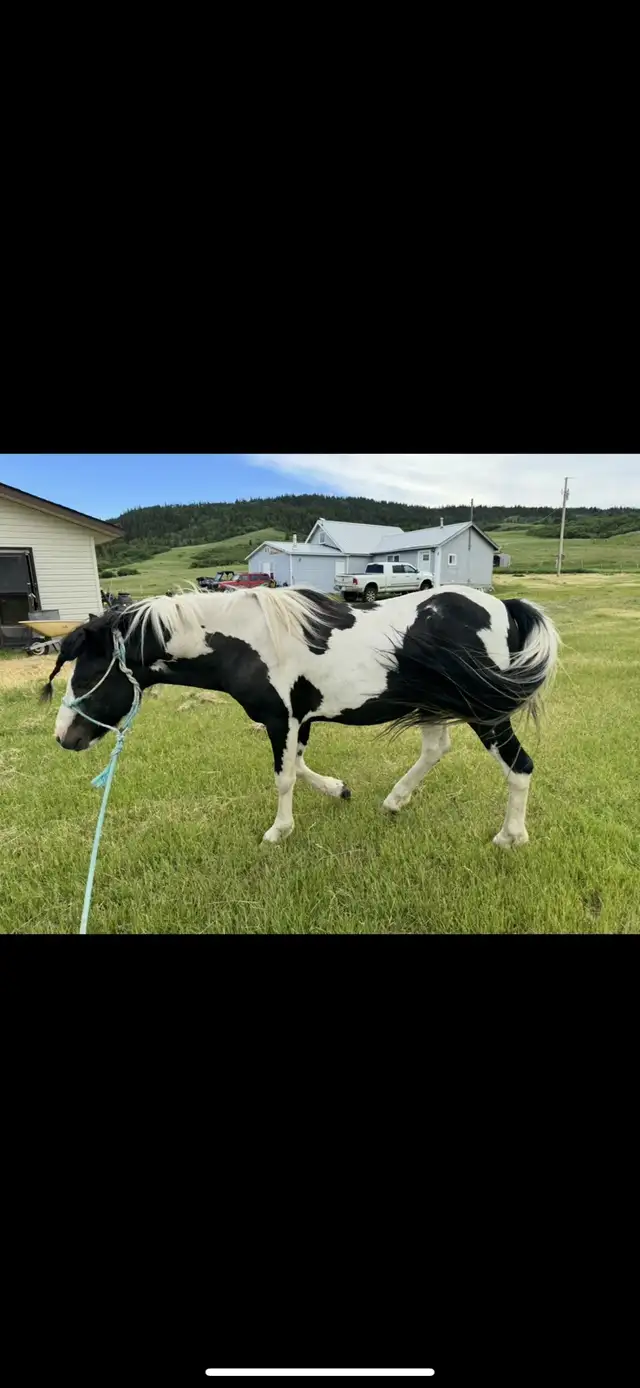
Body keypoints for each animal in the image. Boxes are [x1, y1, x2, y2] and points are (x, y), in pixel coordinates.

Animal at [41, 585, 559, 847]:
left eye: (88, 674)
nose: (64, 737)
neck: (245, 641)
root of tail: (503, 606)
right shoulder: (298, 720)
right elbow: (300, 766)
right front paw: (339, 789)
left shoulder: (280, 718)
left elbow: (284, 776)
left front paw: (279, 831)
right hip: (436, 705)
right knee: (436, 749)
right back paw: (395, 801)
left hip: (485, 712)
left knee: (520, 767)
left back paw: (510, 837)